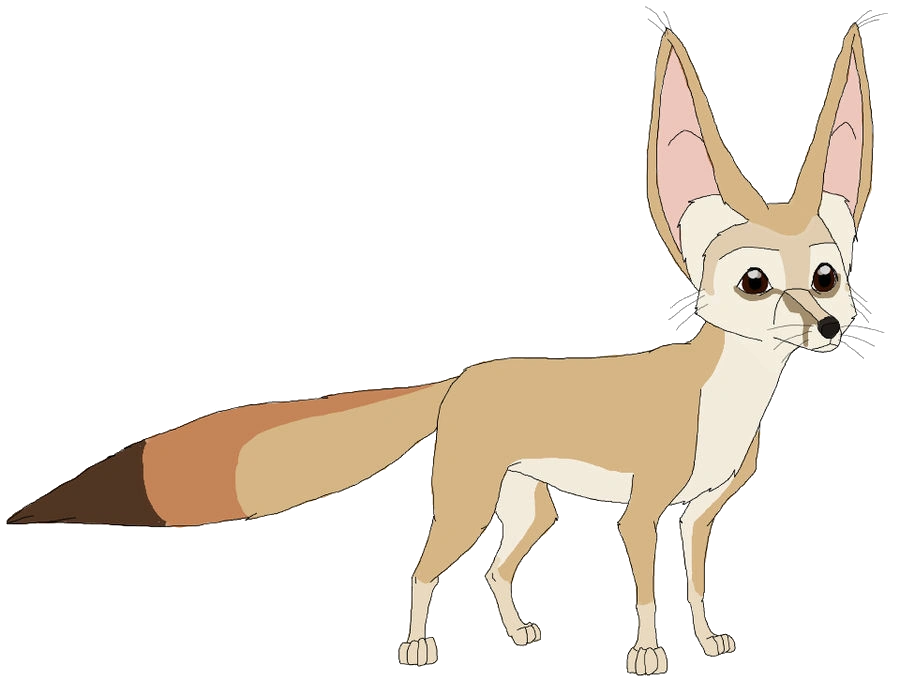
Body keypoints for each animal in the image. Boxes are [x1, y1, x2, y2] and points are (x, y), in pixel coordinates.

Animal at [6, 24, 873, 675]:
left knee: (493, 566)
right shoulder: (643, 509)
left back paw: (516, 635)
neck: (727, 401)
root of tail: (459, 376)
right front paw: (650, 657)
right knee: (424, 566)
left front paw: (707, 644)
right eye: (755, 282)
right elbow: (647, 593)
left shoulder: (700, 514)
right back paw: (418, 648)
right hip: (469, 499)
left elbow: (696, 586)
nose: (830, 328)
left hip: (529, 506)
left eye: (827, 277)